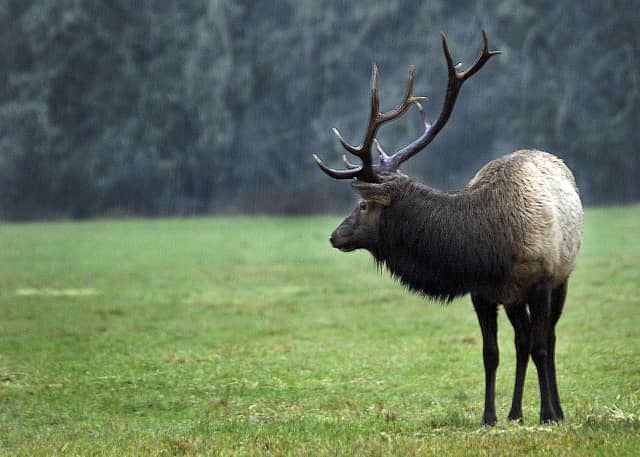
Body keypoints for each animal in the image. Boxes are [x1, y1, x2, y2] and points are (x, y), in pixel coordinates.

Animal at [312, 32, 583, 425]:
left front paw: (548, 414)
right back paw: (516, 413)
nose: (335, 235)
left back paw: (555, 410)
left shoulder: (542, 282)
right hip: (513, 299)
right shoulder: (482, 292)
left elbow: (542, 347)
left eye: (362, 205)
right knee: (521, 341)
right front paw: (489, 417)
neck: (489, 248)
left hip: (562, 277)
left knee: (547, 339)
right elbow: (491, 353)